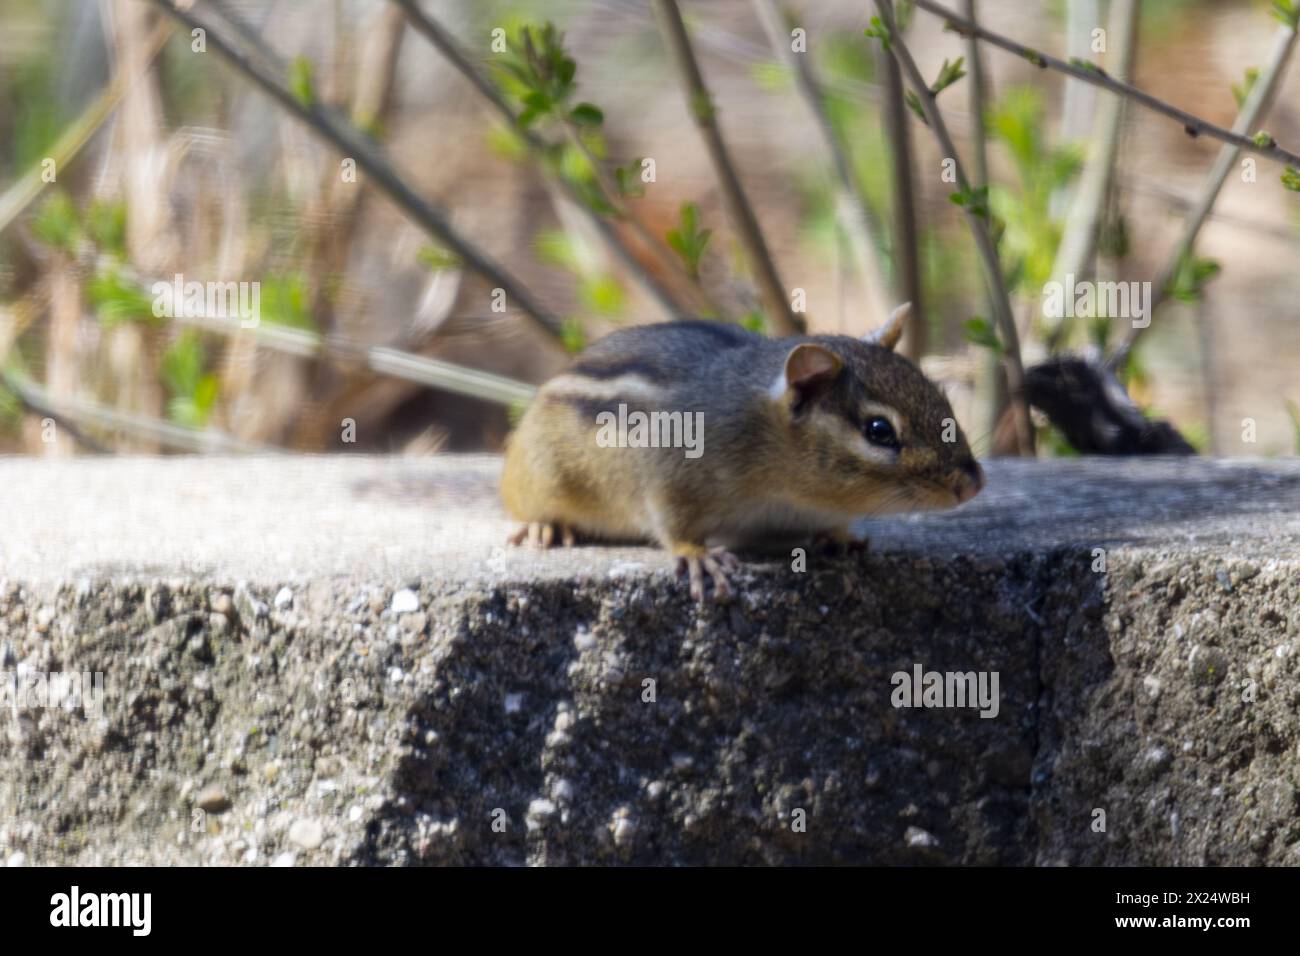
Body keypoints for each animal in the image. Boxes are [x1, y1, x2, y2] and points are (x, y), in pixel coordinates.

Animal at [501, 304, 984, 602]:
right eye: (879, 431)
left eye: (940, 397)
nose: (974, 483)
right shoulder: (669, 476)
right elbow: (671, 523)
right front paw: (699, 557)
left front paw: (840, 536)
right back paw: (545, 526)